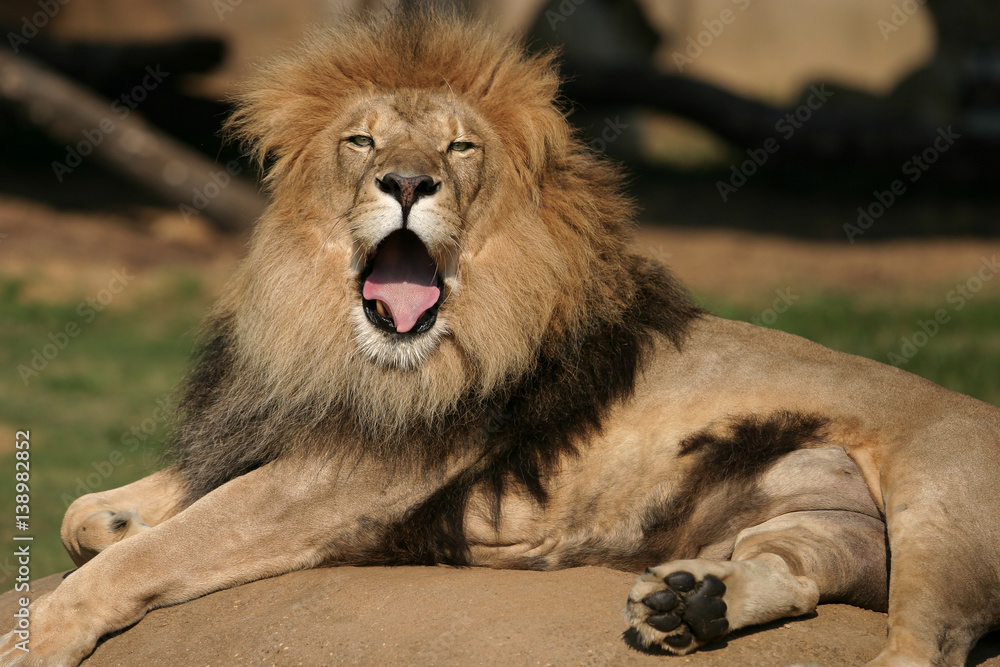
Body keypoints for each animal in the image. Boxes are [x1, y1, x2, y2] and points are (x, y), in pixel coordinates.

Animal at [3, 11, 1000, 667]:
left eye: (461, 149)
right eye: (362, 141)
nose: (409, 183)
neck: (333, 339)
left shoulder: (332, 482)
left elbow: (152, 553)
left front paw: (41, 632)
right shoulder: (283, 428)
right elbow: (89, 514)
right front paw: (116, 515)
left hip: (939, 508)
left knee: (924, 647)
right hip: (821, 524)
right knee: (796, 573)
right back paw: (687, 606)